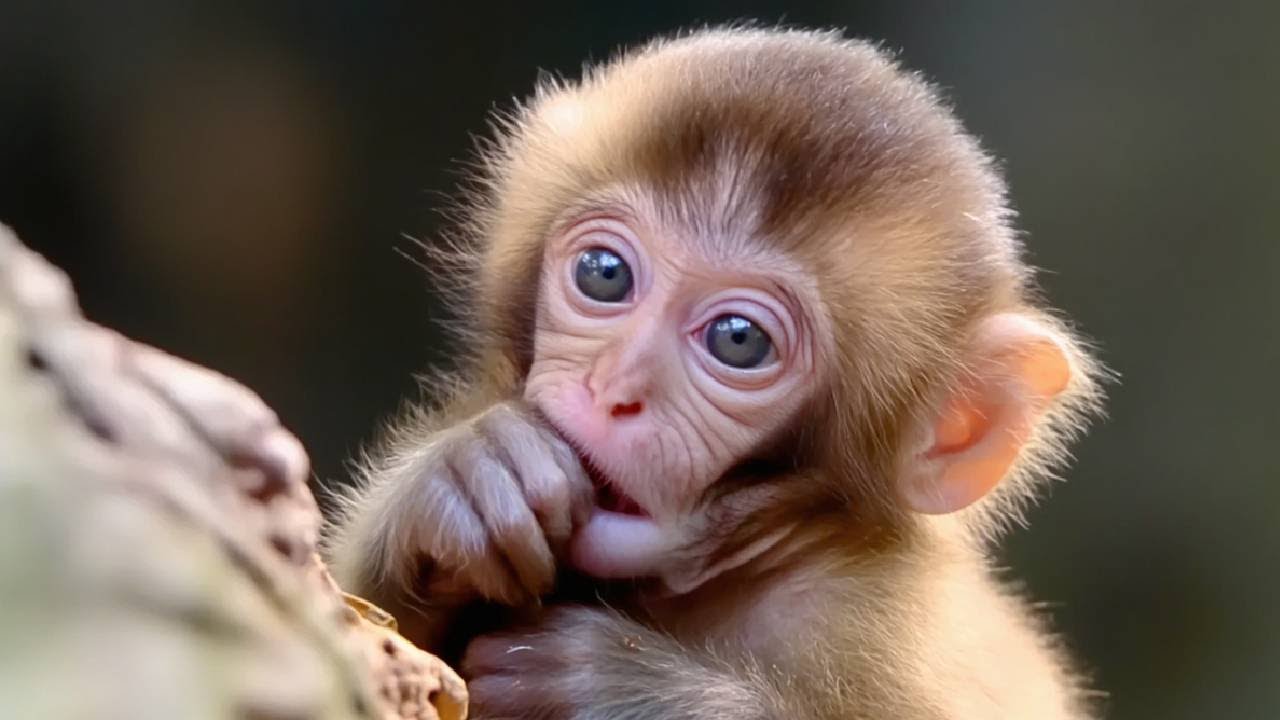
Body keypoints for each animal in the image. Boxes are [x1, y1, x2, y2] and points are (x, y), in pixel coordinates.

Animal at [325, 26, 1106, 720]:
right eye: (604, 274)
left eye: (738, 340)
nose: (613, 391)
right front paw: (466, 476)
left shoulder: (875, 622)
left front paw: (619, 689)